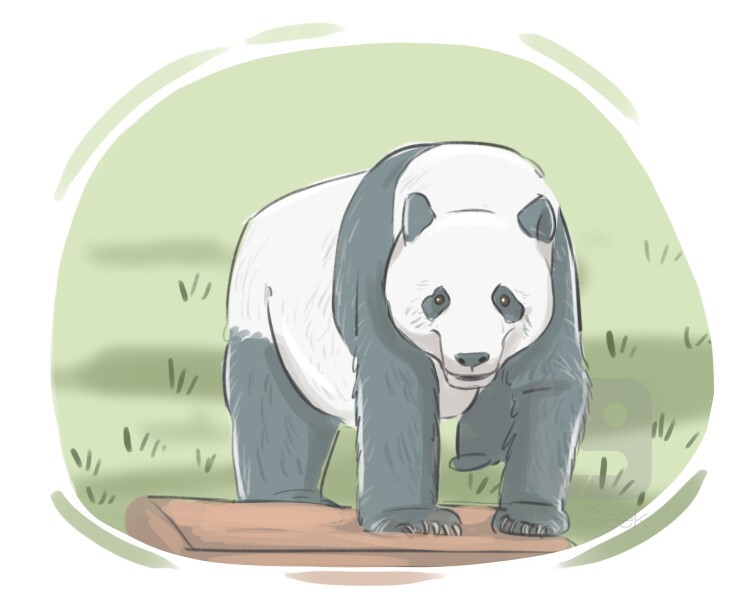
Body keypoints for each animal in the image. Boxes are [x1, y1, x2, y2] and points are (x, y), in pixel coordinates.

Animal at [224, 142, 589, 537]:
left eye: (505, 299)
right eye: (438, 299)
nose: (471, 357)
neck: (472, 188)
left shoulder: (558, 271)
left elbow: (547, 385)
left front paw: (529, 519)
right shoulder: (374, 272)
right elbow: (398, 387)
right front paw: (417, 521)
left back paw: (474, 455)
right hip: (265, 313)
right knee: (278, 412)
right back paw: (287, 500)